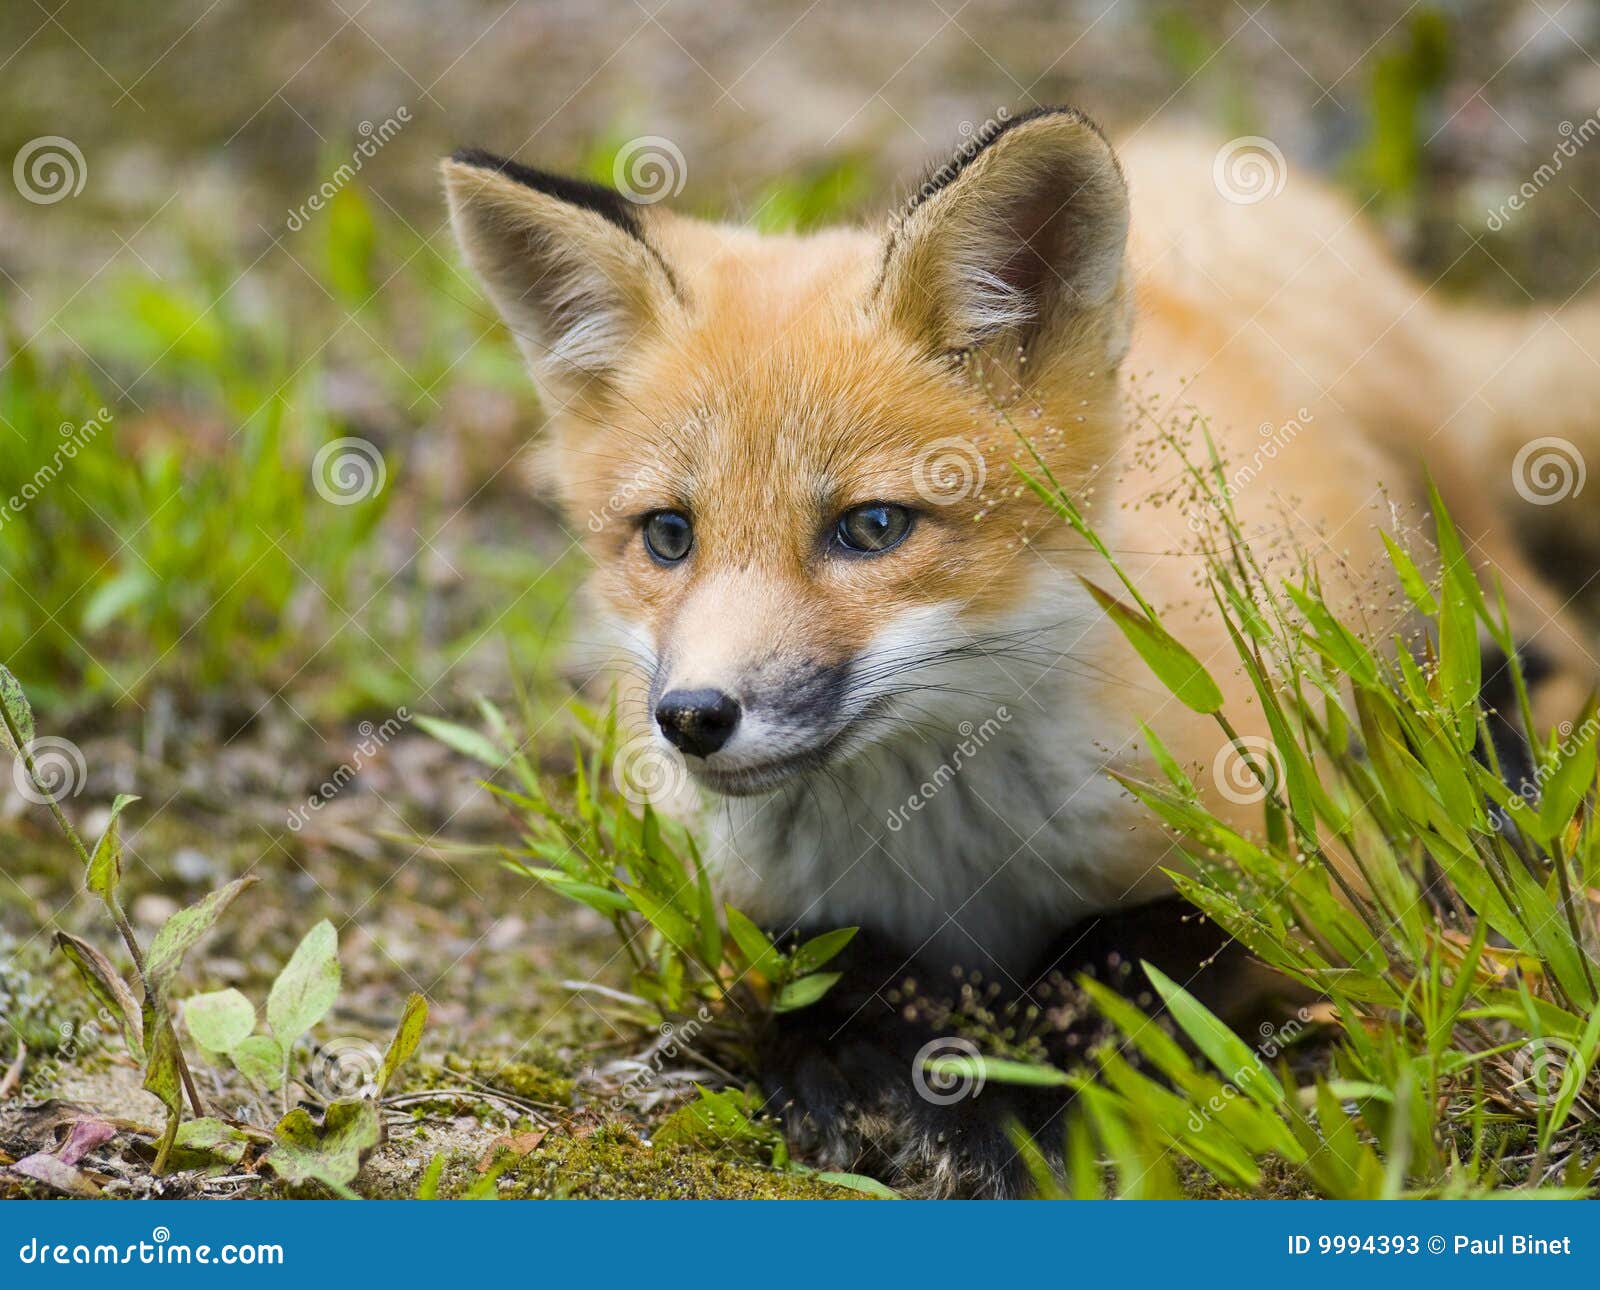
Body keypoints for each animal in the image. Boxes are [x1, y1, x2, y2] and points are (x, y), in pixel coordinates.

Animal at [442, 107, 1600, 1195]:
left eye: (872, 527)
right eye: (669, 537)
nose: (693, 719)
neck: (943, 848)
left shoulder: (1311, 860)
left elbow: (1119, 976)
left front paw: (1013, 1119)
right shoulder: (712, 888)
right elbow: (807, 966)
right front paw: (849, 1067)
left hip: (1444, 540)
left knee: (1541, 656)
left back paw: (1497, 787)